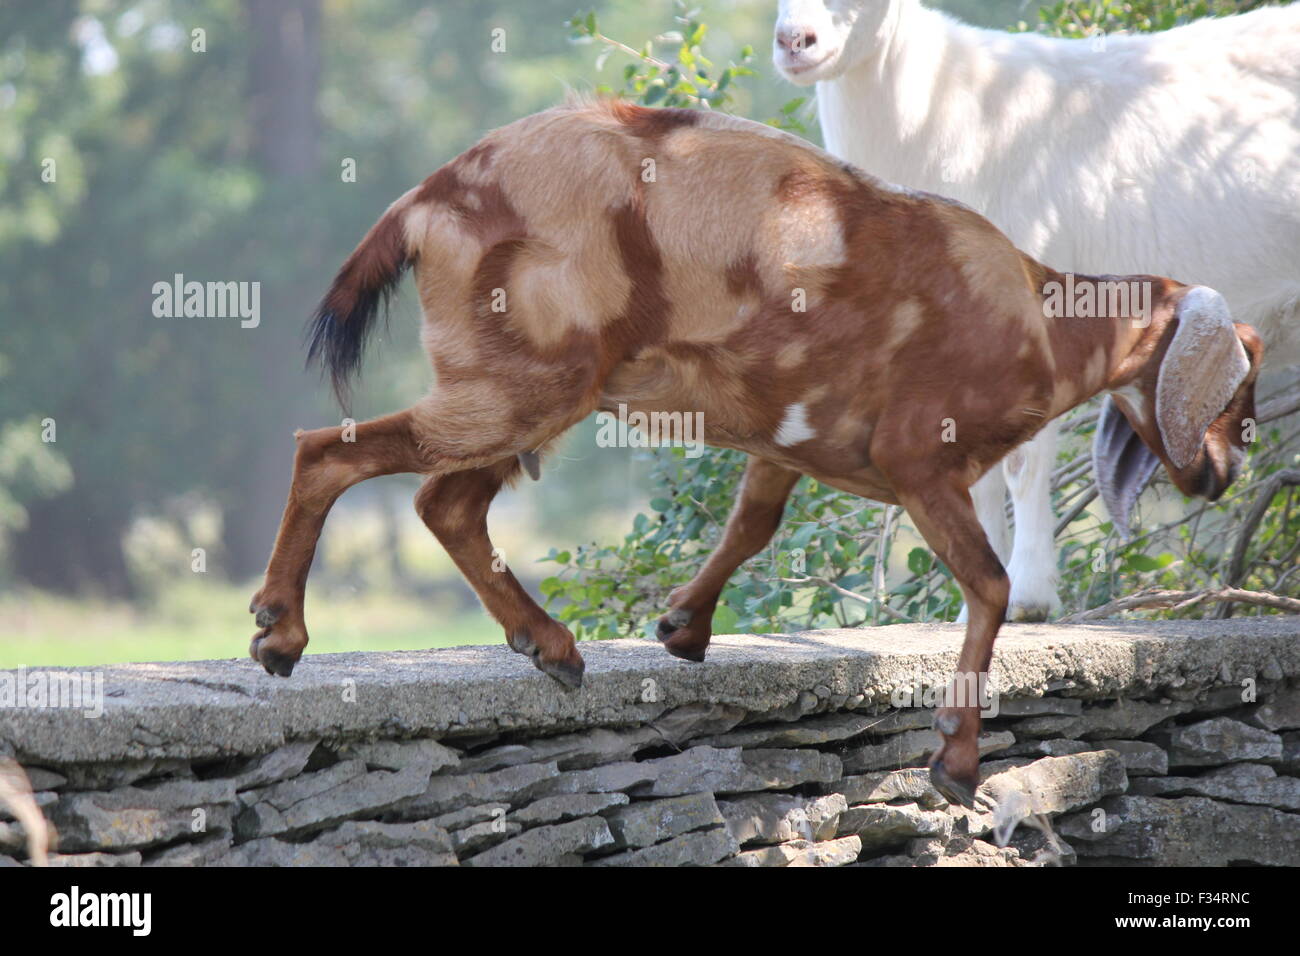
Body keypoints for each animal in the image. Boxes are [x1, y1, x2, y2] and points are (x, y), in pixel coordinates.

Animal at [247, 99, 1261, 806]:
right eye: (1245, 385)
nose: (1223, 472)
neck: (1042, 319)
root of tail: (424, 202)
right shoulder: (919, 461)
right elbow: (991, 584)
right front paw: (956, 762)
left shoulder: (788, 435)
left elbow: (754, 523)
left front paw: (683, 627)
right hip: (519, 385)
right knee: (327, 451)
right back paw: (280, 635)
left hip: (535, 390)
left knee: (443, 502)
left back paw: (552, 648)